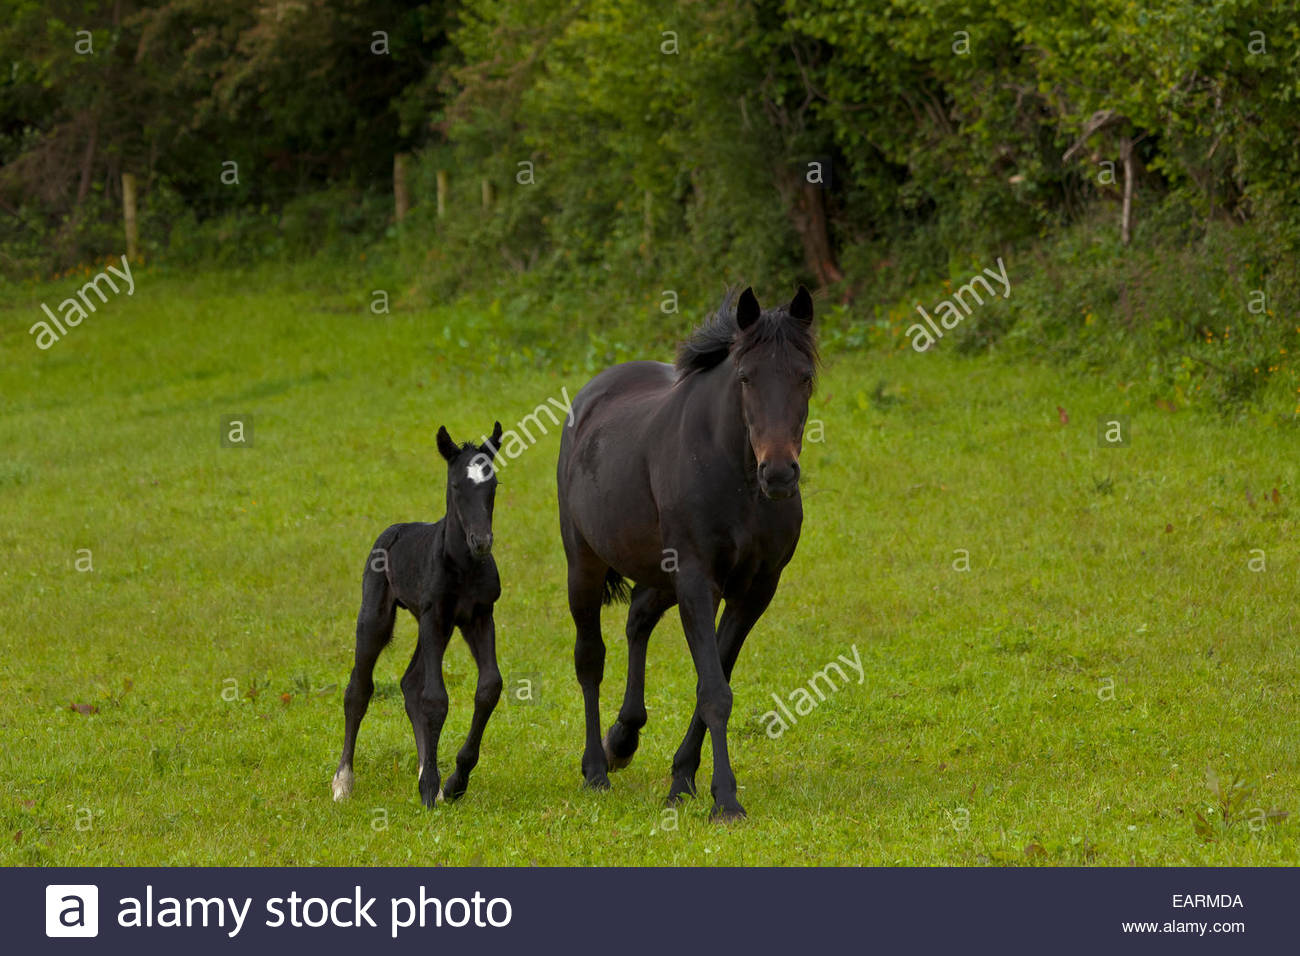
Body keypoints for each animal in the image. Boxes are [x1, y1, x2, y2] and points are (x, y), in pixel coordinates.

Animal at [332, 422, 505, 808]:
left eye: (493, 485)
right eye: (456, 486)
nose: (482, 541)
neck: (462, 565)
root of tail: (393, 529)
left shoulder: (478, 616)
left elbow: (489, 686)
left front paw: (453, 782)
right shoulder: (434, 615)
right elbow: (435, 698)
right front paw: (429, 788)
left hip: (439, 628)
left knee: (410, 683)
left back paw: (429, 772)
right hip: (377, 618)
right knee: (358, 689)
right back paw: (343, 781)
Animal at [556, 285, 816, 819]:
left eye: (805, 377)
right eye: (746, 377)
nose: (779, 473)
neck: (737, 478)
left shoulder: (753, 591)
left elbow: (714, 679)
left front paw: (682, 779)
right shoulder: (697, 580)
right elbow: (714, 690)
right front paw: (726, 800)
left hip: (659, 575)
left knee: (637, 620)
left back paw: (623, 738)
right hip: (584, 566)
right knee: (590, 658)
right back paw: (596, 768)